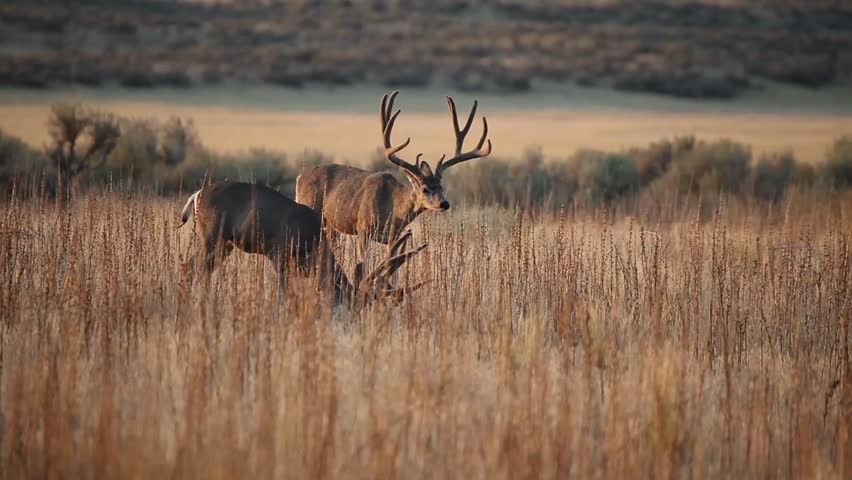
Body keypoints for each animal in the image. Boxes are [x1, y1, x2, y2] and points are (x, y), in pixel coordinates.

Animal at [177, 181, 427, 305]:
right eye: (357, 302)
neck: (312, 242)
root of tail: (197, 195)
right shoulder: (279, 253)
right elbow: (283, 292)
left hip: (224, 244)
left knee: (195, 269)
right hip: (211, 236)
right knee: (194, 268)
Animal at [295, 90, 491, 260]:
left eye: (441, 187)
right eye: (424, 189)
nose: (444, 203)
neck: (393, 207)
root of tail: (300, 177)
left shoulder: (394, 237)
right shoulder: (362, 229)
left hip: (331, 226)